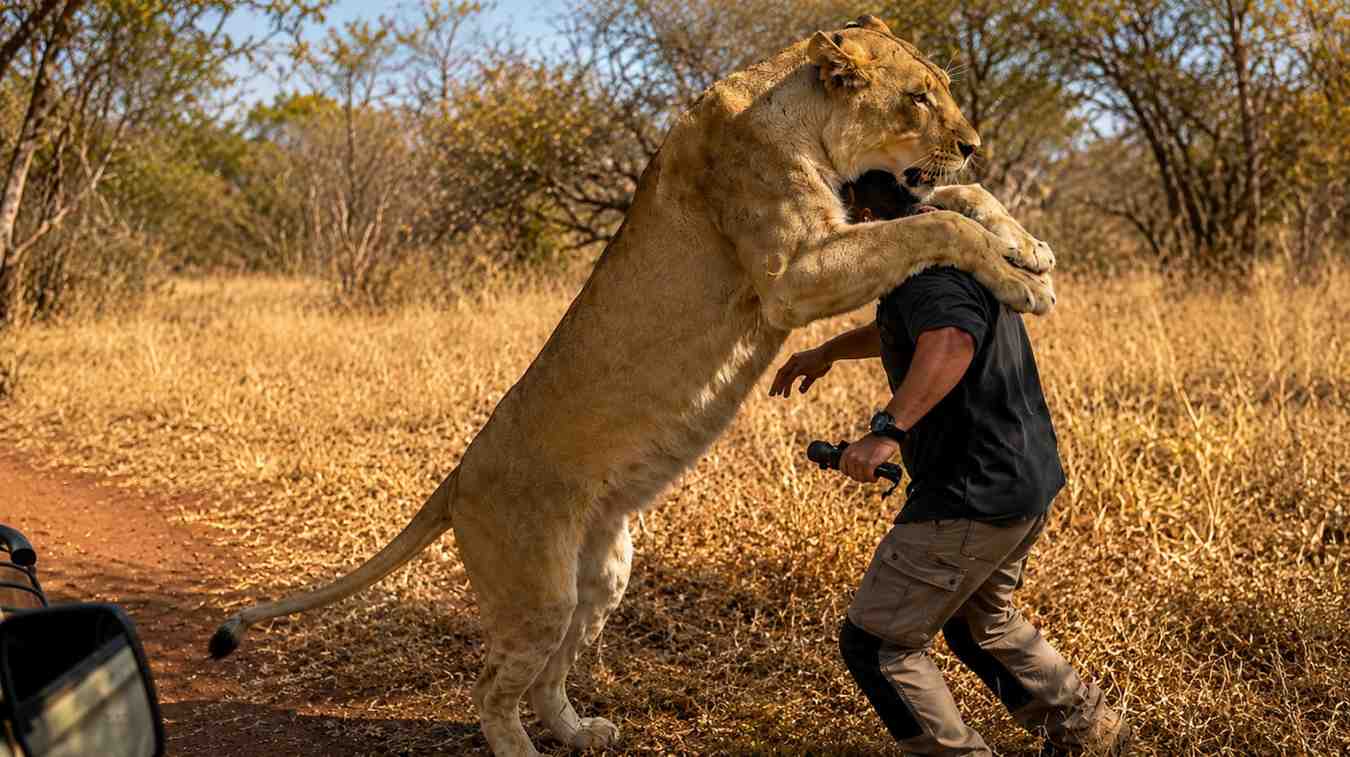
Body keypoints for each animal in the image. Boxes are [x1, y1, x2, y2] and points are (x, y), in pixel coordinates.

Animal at [209, 15, 1056, 756]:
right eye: (919, 97)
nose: (974, 143)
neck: (801, 115)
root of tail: (456, 477)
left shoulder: (847, 223)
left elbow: (955, 201)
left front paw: (1031, 250)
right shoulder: (793, 275)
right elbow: (932, 224)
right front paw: (1022, 281)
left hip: (602, 573)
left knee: (548, 673)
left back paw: (582, 731)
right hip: (537, 587)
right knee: (490, 687)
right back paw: (525, 749)